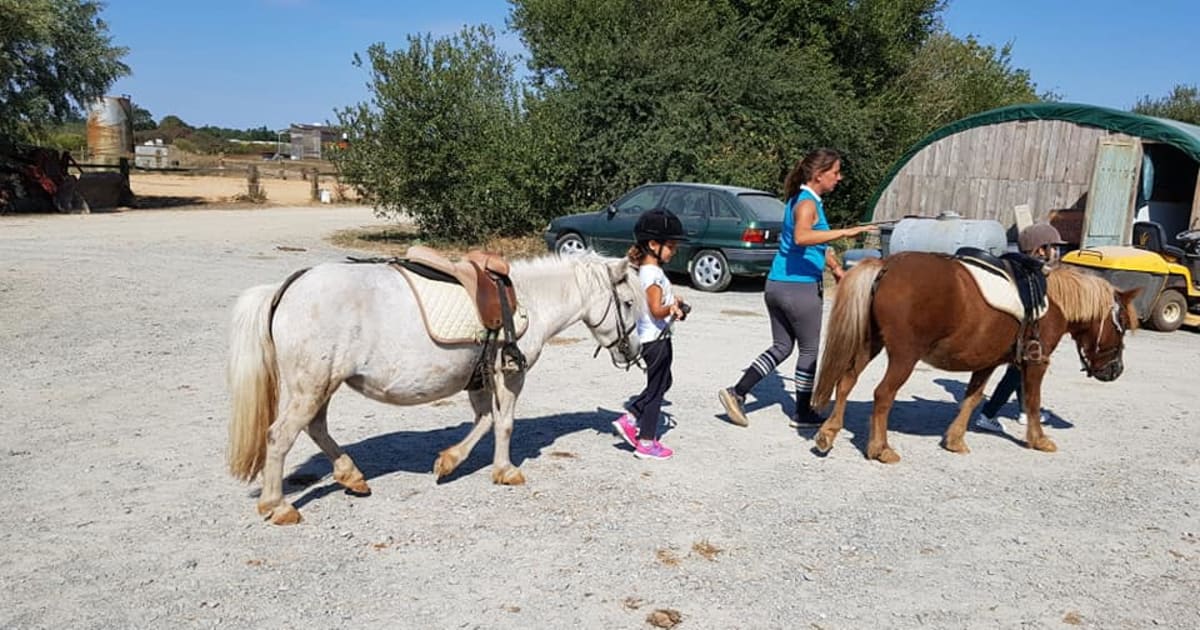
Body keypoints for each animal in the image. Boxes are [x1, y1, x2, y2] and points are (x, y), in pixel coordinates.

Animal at [226, 253, 646, 524]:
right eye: (627, 302)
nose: (634, 352)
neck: (530, 302)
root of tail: (287, 287)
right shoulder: (510, 374)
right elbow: (504, 423)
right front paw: (505, 470)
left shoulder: (479, 378)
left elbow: (484, 420)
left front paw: (448, 461)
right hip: (311, 386)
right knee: (280, 437)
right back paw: (278, 505)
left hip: (320, 386)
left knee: (315, 428)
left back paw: (351, 476)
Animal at [811, 252, 1139, 463]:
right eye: (1121, 323)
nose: (1116, 370)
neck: (1053, 301)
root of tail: (887, 265)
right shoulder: (1036, 362)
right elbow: (1033, 402)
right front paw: (1039, 439)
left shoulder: (987, 363)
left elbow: (972, 398)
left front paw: (955, 440)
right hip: (904, 356)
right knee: (882, 395)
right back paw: (881, 448)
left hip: (871, 344)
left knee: (846, 382)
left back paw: (828, 433)